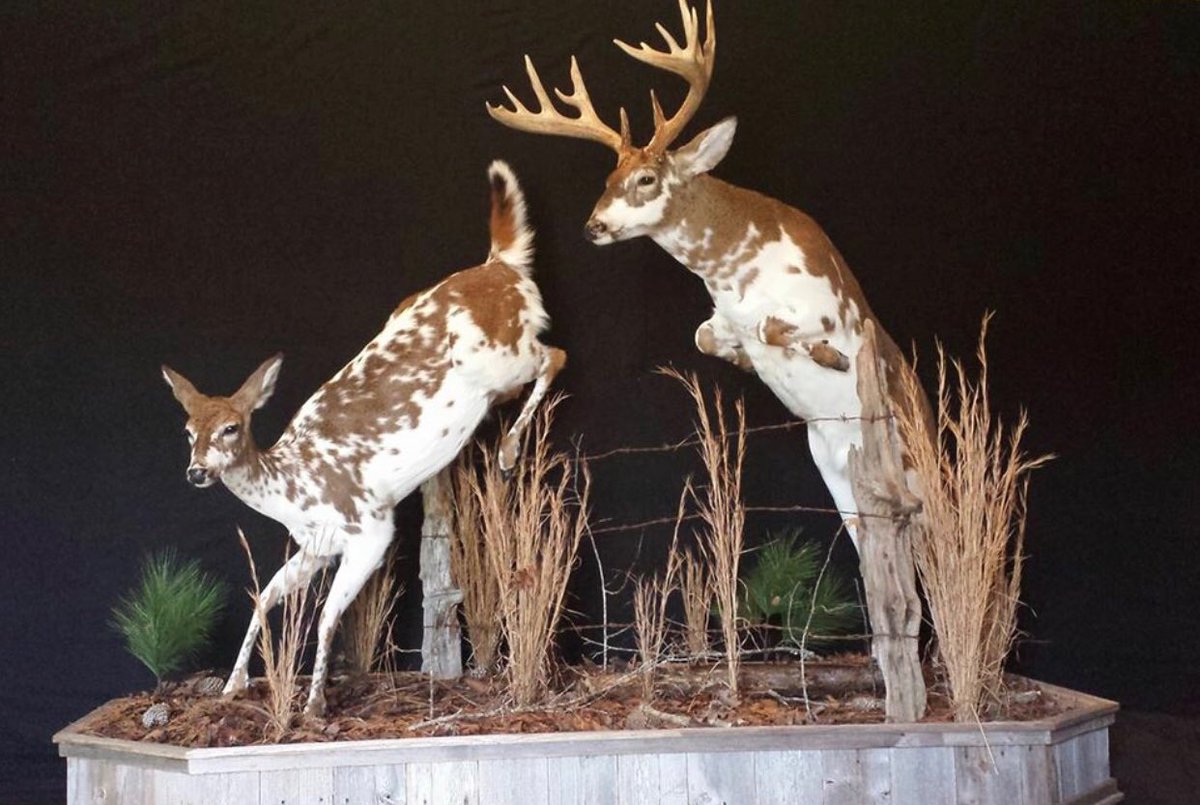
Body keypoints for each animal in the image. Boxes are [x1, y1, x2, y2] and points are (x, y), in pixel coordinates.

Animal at [161, 161, 565, 716]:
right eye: (187, 432)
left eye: (230, 428)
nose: (196, 472)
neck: (294, 487)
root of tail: (501, 266)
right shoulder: (316, 545)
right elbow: (264, 596)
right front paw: (234, 684)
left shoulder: (368, 527)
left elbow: (328, 615)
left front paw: (313, 704)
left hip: (501, 358)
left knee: (555, 355)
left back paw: (508, 452)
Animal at [488, 1, 929, 551]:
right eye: (608, 179)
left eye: (646, 178)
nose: (593, 227)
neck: (739, 268)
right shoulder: (721, 315)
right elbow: (704, 336)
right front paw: (745, 359)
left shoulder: (830, 302)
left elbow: (775, 325)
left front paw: (829, 357)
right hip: (841, 483)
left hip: (918, 470)